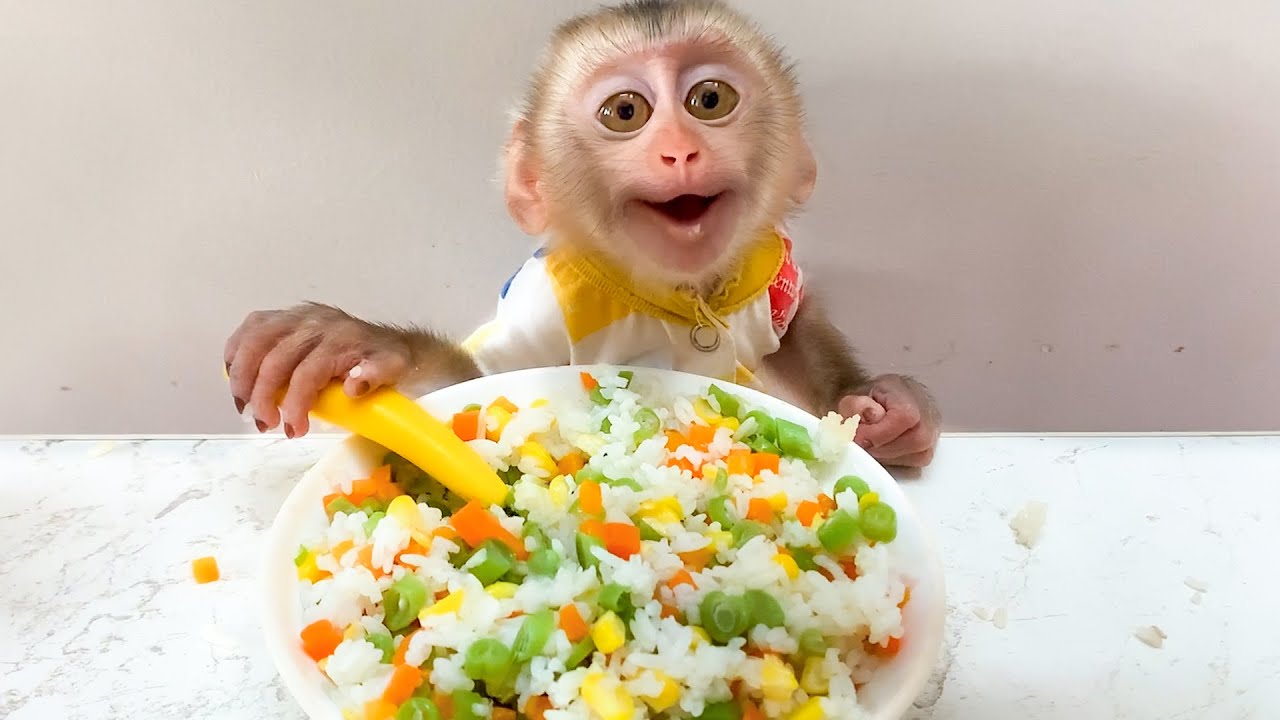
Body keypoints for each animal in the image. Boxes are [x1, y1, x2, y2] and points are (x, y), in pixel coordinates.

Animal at [223, 0, 941, 467]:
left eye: (710, 99)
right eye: (625, 112)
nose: (680, 149)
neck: (683, 303)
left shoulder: (769, 261)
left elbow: (797, 331)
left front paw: (889, 411)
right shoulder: (545, 307)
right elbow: (475, 381)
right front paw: (356, 345)